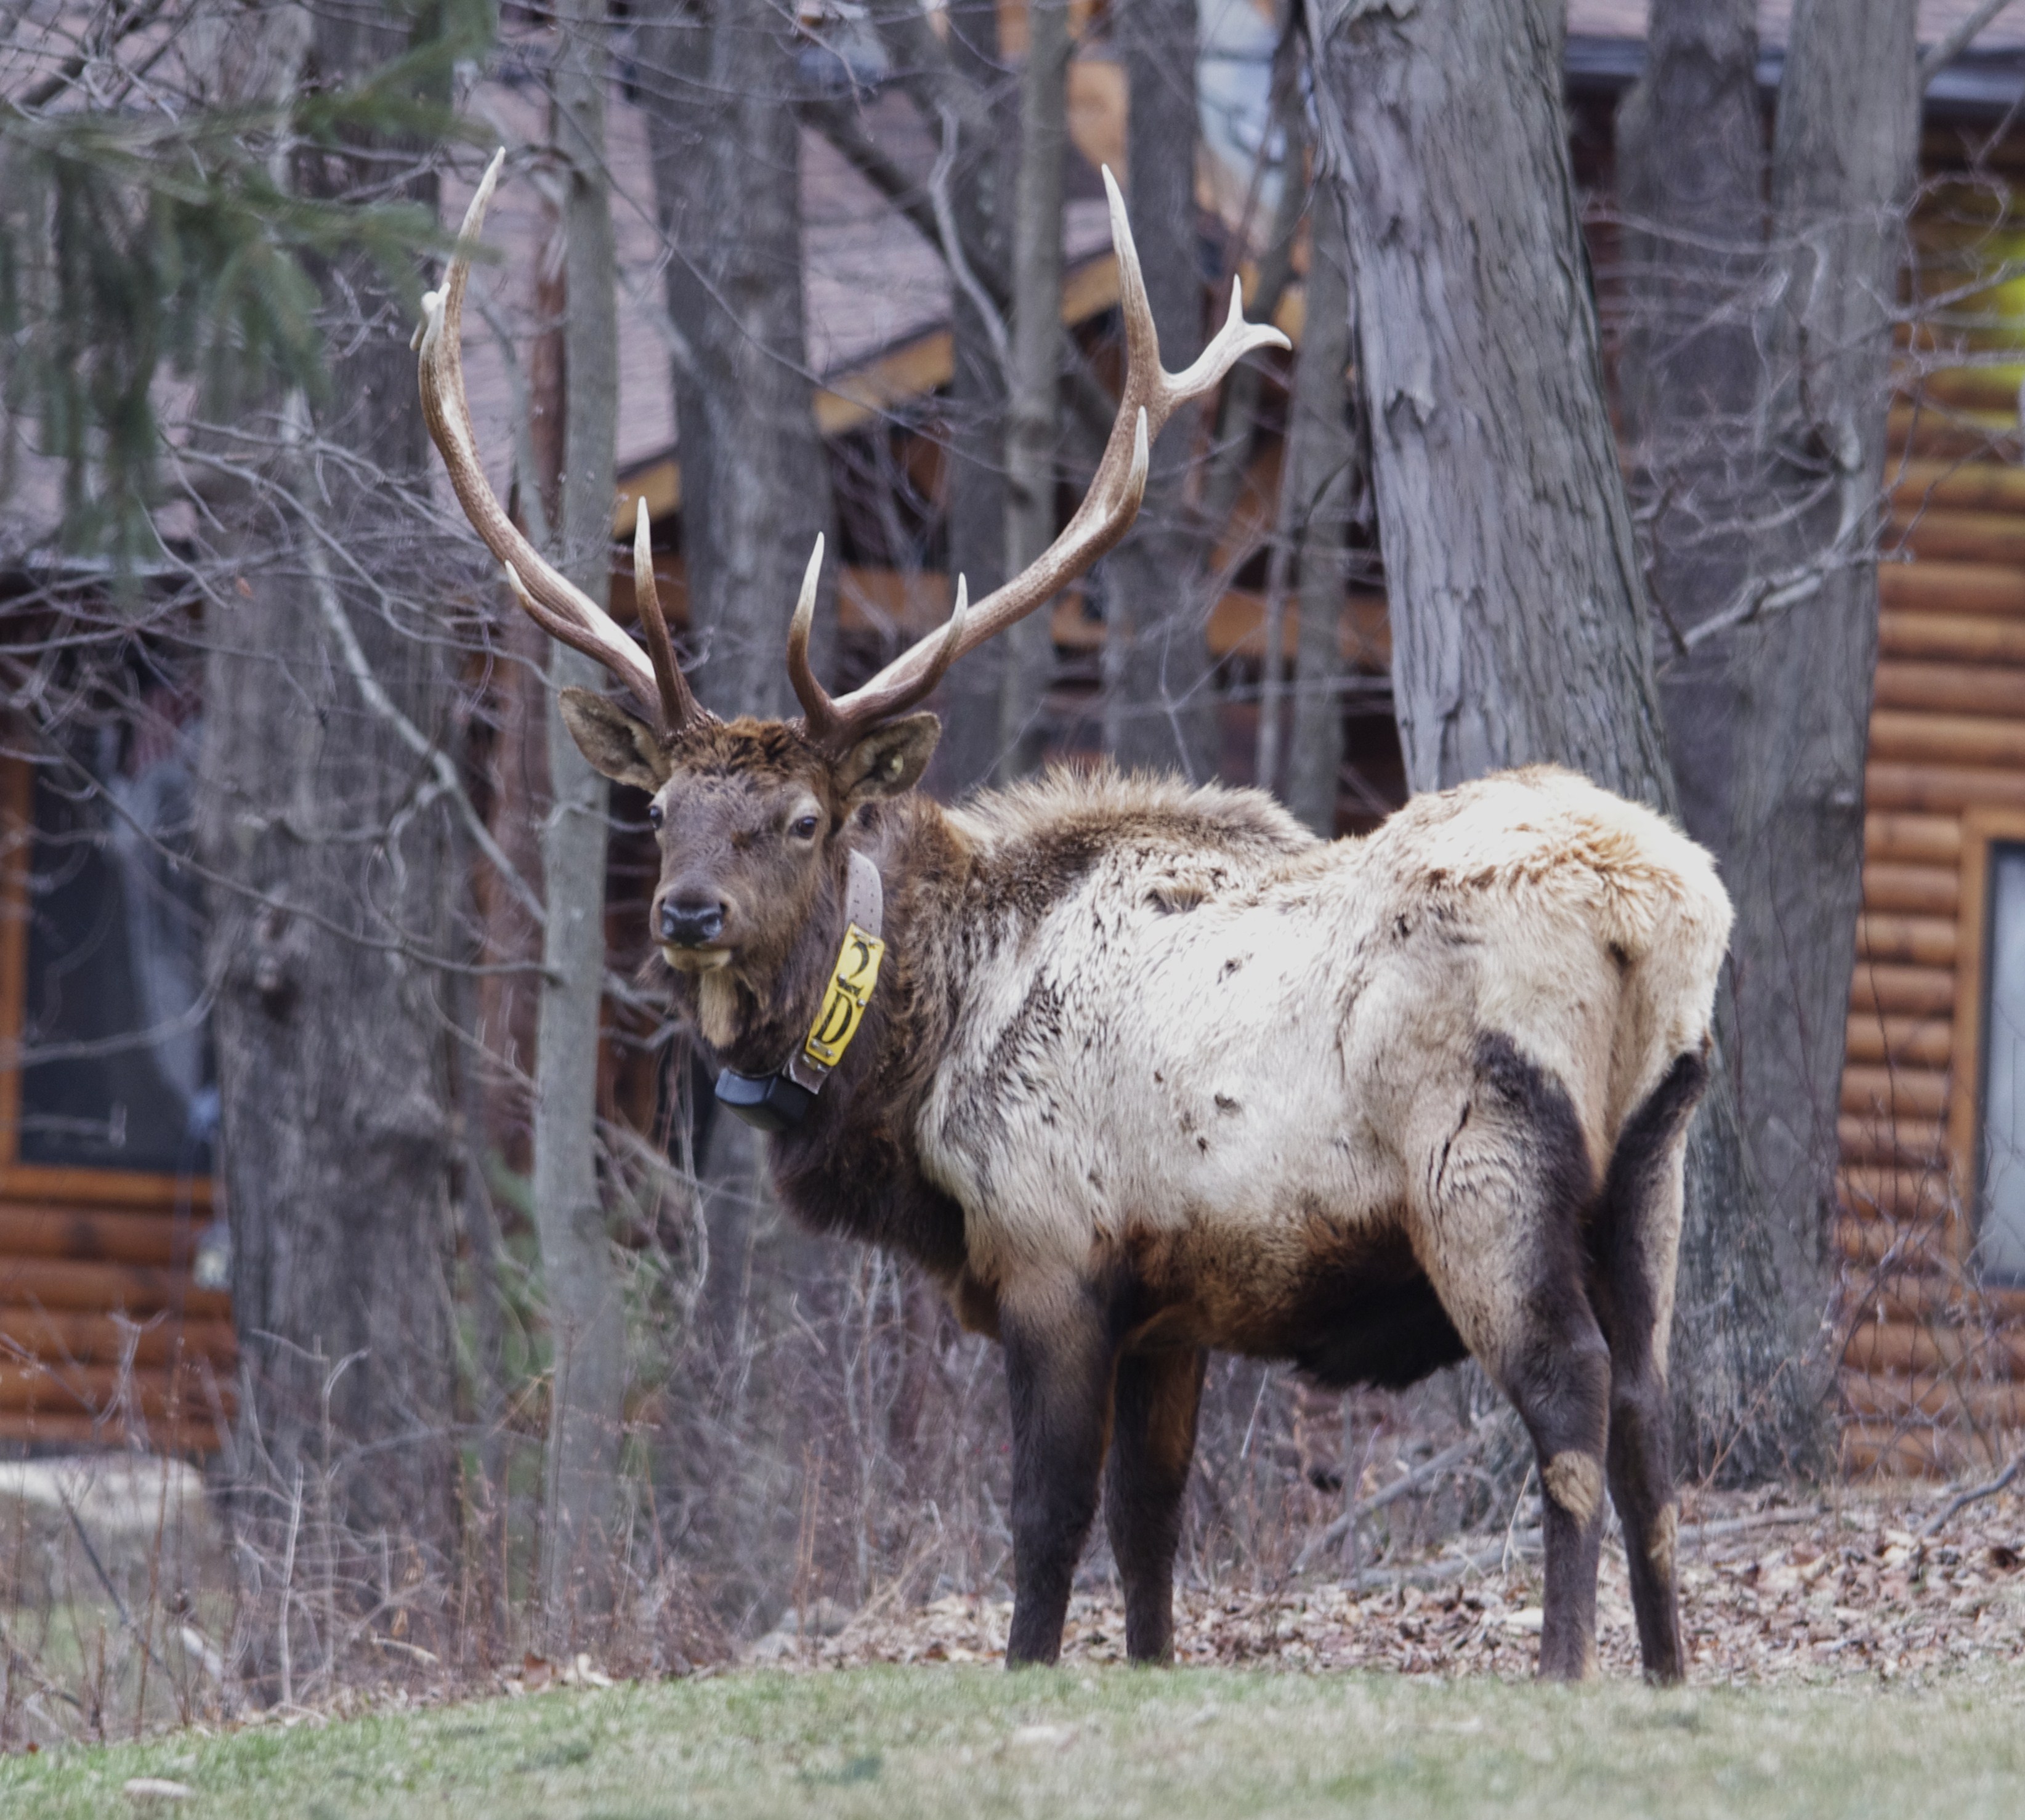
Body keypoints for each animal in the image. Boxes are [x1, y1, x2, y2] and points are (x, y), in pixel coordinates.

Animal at [416, 150, 1731, 1682]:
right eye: (659, 809)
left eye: (801, 820)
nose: (684, 914)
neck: (915, 1069)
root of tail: (1656, 907)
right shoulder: (1176, 1302)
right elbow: (1153, 1527)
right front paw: (1151, 1669)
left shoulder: (1054, 1253)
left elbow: (1046, 1523)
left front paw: (1026, 1669)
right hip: (1654, 1159)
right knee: (1649, 1408)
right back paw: (1668, 1672)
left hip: (1485, 1159)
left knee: (1572, 1395)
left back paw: (1564, 1667)